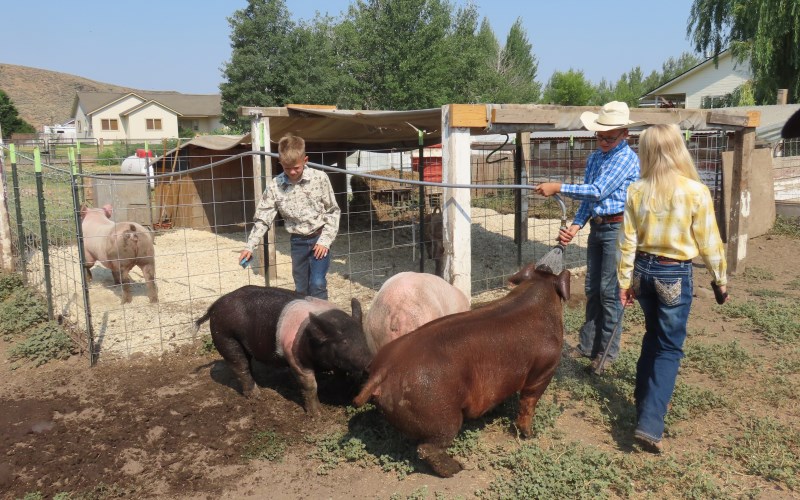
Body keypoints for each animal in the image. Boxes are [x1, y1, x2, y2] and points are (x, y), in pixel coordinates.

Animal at [195, 285, 371, 416]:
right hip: (225, 336)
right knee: (240, 365)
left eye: (363, 336)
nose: (369, 363)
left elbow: (341, 377)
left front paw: (342, 394)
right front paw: (318, 415)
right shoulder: (295, 358)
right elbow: (310, 385)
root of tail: (216, 304)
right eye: (344, 342)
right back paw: (257, 397)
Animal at [353, 263, 570, 477]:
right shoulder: (544, 369)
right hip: (441, 414)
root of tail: (384, 370)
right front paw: (529, 435)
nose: (546, 264)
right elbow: (528, 403)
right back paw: (457, 468)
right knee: (427, 447)